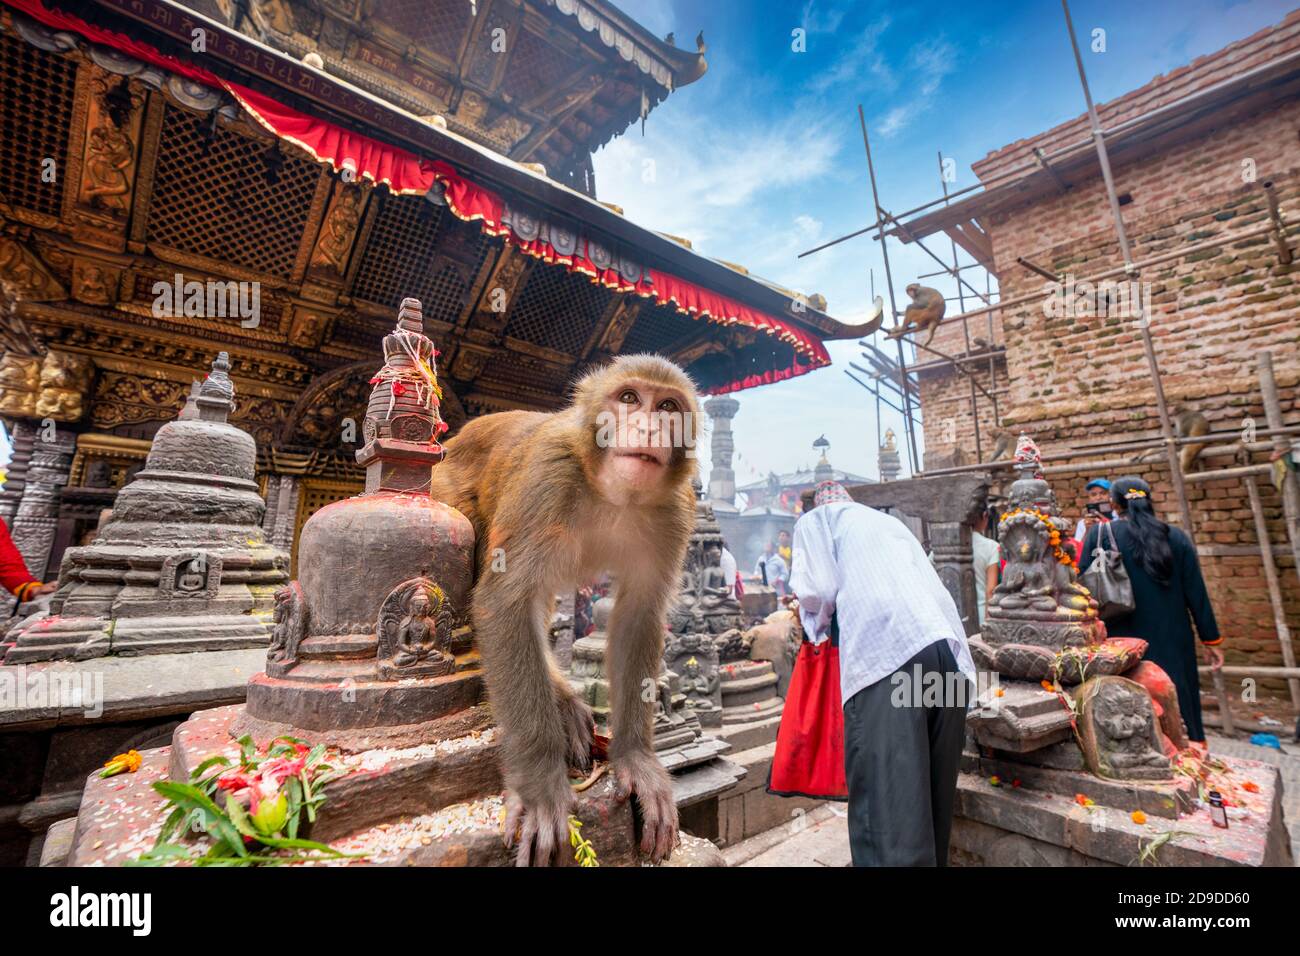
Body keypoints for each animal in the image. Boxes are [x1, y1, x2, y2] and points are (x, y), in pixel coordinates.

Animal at [428, 354, 698, 866]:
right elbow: (505, 601)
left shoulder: (674, 509)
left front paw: (636, 759)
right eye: (629, 398)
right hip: (444, 492)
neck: (611, 494)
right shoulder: (547, 478)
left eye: (668, 406)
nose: (650, 427)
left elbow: (639, 615)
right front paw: (539, 787)